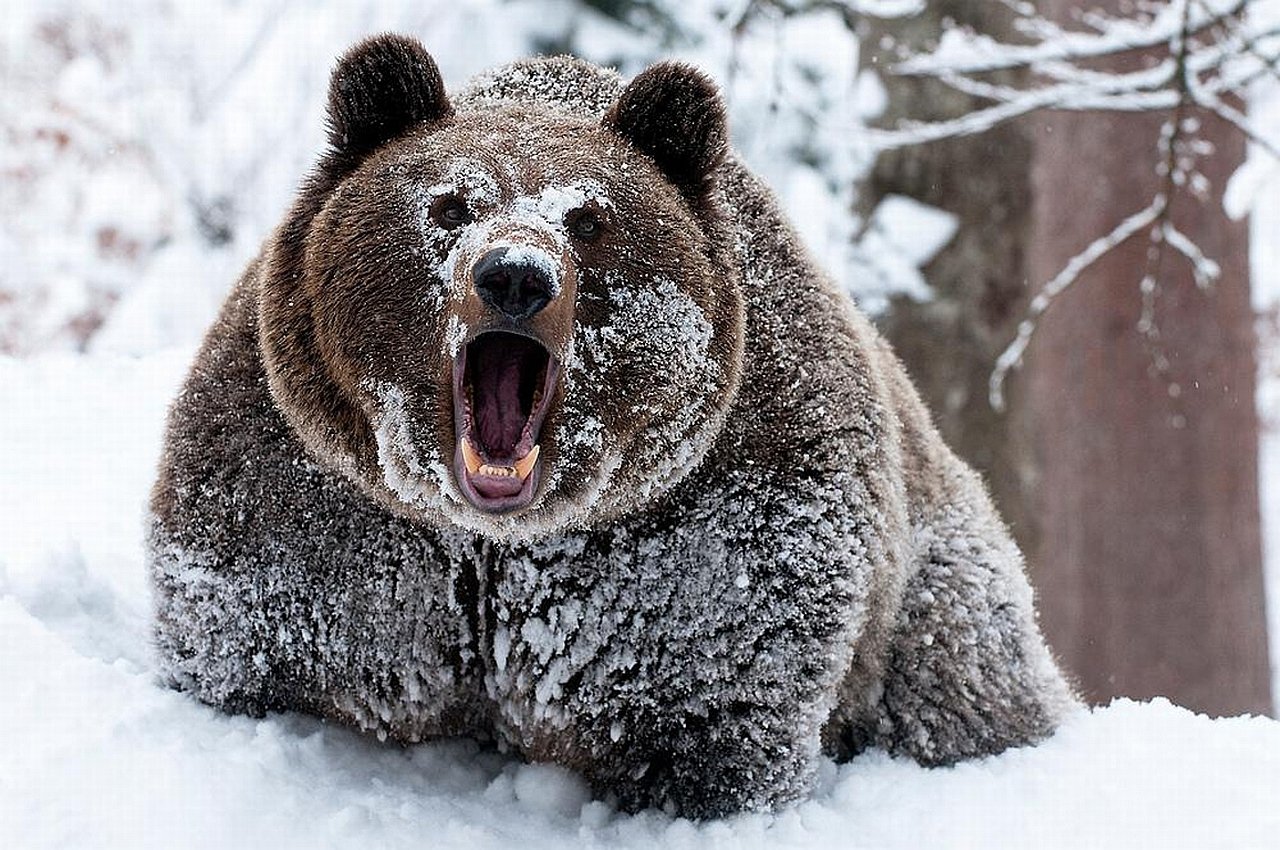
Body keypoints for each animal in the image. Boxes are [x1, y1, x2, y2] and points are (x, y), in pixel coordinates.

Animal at [148, 34, 1078, 819]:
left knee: (962, 684)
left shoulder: (708, 539)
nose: (514, 276)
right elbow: (250, 639)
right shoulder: (318, 508)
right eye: (449, 204)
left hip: (938, 590)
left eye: (589, 219)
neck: (497, 541)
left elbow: (715, 708)